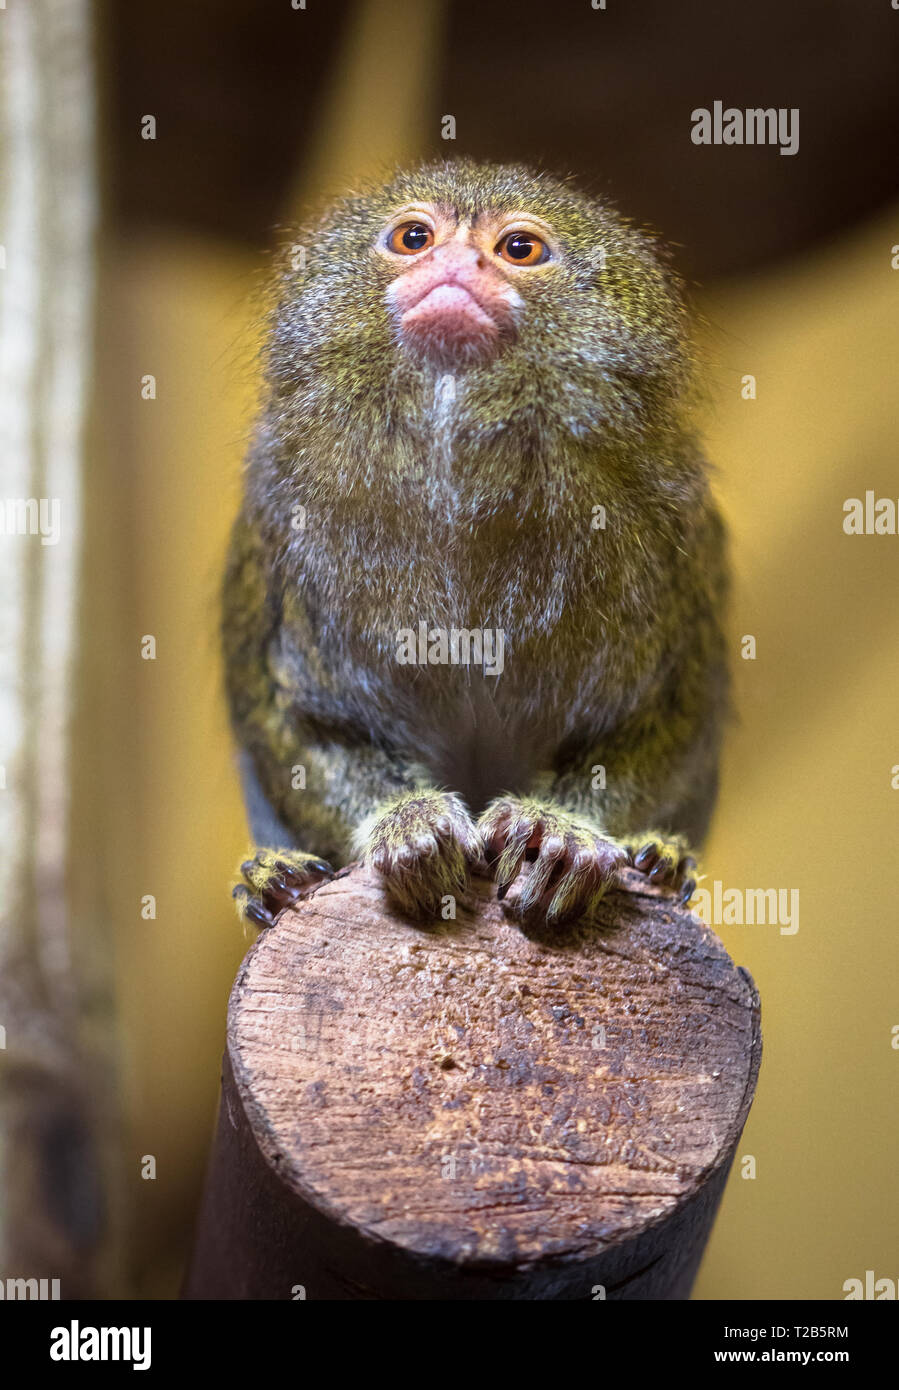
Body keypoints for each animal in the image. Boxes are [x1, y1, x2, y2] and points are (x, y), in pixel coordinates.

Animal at [225, 158, 729, 932]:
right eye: (414, 237)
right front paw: (407, 822)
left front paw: (560, 831)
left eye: (518, 249)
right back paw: (274, 880)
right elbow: (298, 717)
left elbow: (673, 708)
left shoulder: (668, 531)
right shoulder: (281, 517)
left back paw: (662, 861)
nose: (457, 263)